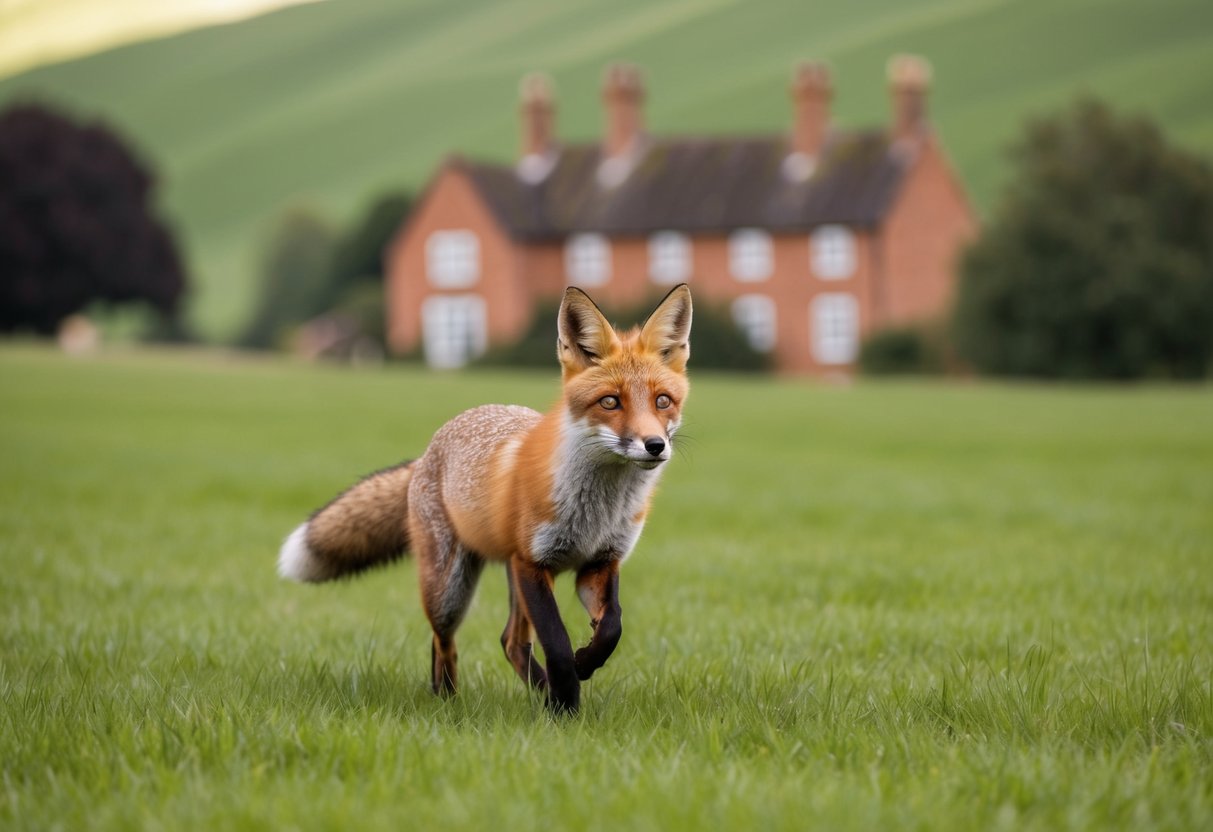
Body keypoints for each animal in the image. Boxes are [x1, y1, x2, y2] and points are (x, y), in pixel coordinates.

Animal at [277, 284, 692, 713]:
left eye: (662, 401)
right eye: (610, 402)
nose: (655, 445)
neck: (598, 511)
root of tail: (428, 451)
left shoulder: (599, 562)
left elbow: (612, 627)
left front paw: (582, 670)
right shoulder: (533, 563)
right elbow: (557, 644)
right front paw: (566, 706)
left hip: (506, 578)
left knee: (511, 642)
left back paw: (536, 692)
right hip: (450, 590)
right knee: (444, 643)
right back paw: (449, 702)